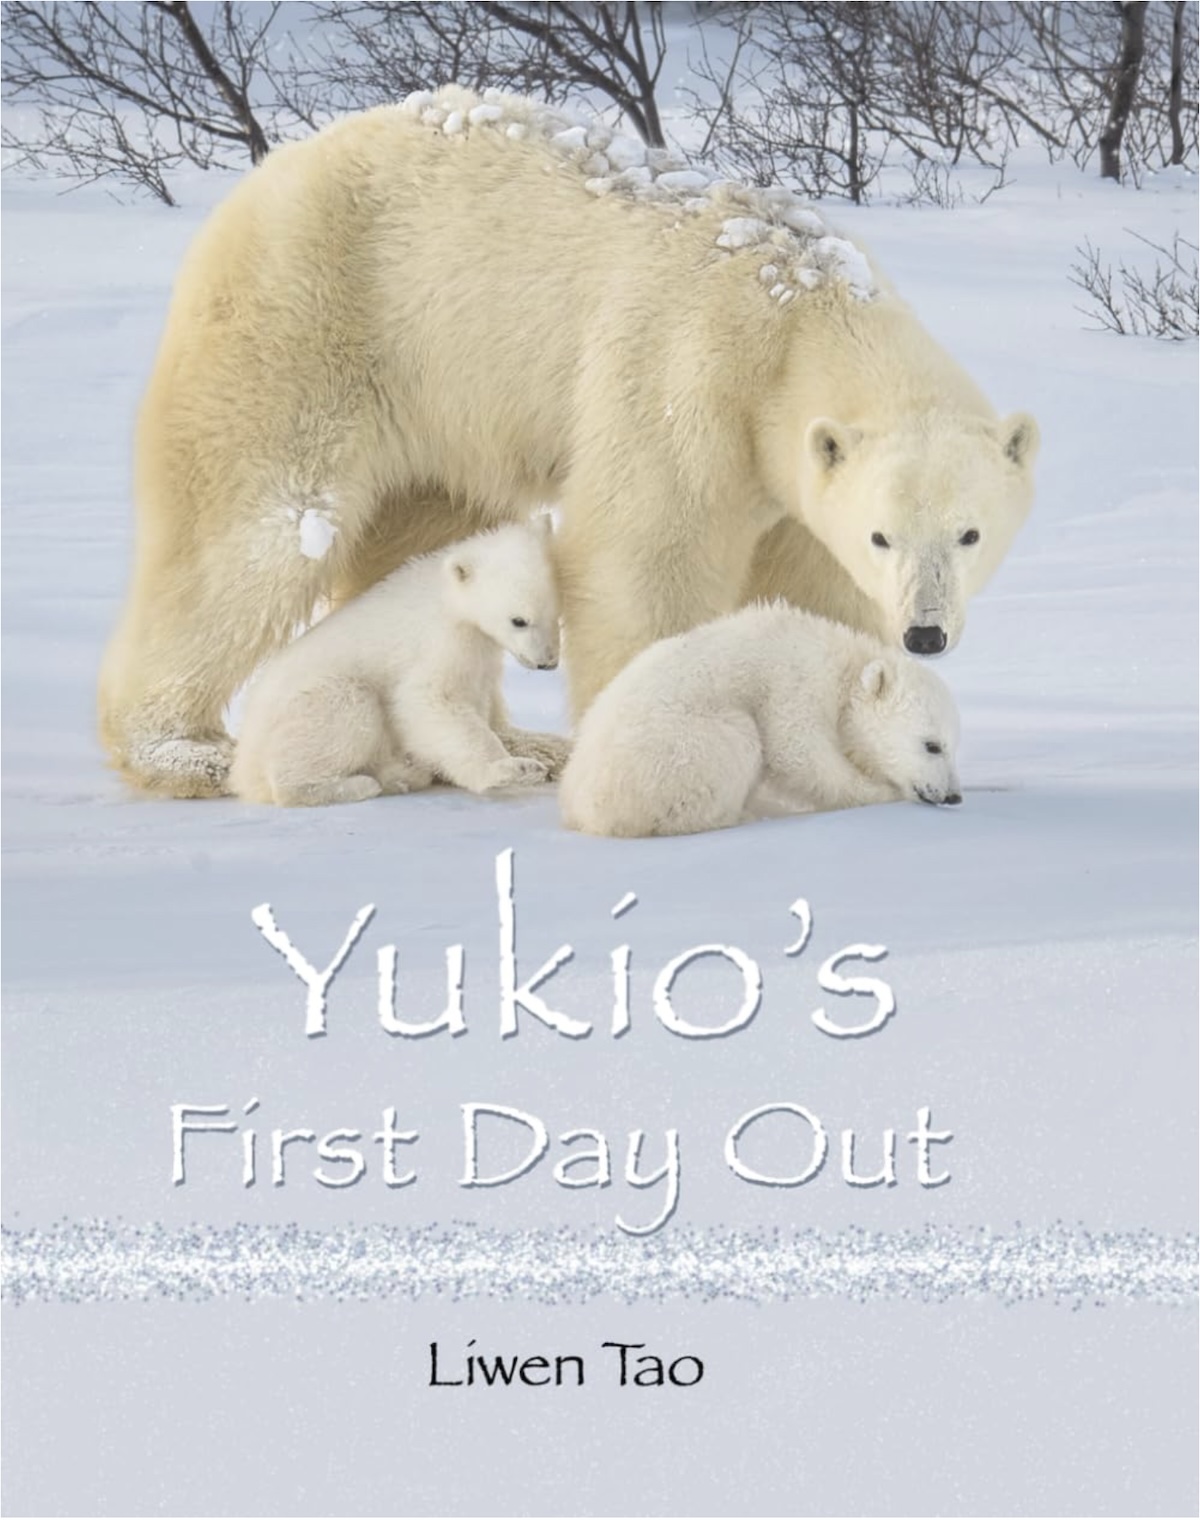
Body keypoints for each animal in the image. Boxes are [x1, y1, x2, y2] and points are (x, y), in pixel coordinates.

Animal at [229, 519, 568, 806]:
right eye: (519, 621)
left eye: (557, 615)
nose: (547, 662)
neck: (448, 594)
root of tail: (245, 761)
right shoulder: (440, 641)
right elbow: (429, 700)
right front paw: (512, 768)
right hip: (305, 706)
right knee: (345, 709)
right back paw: (359, 784)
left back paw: (401, 775)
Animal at [558, 603, 962, 838]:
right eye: (932, 745)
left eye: (953, 745)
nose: (952, 795)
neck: (844, 668)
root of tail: (585, 807)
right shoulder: (796, 681)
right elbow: (798, 750)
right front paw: (880, 792)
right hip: (676, 750)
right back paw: (746, 814)